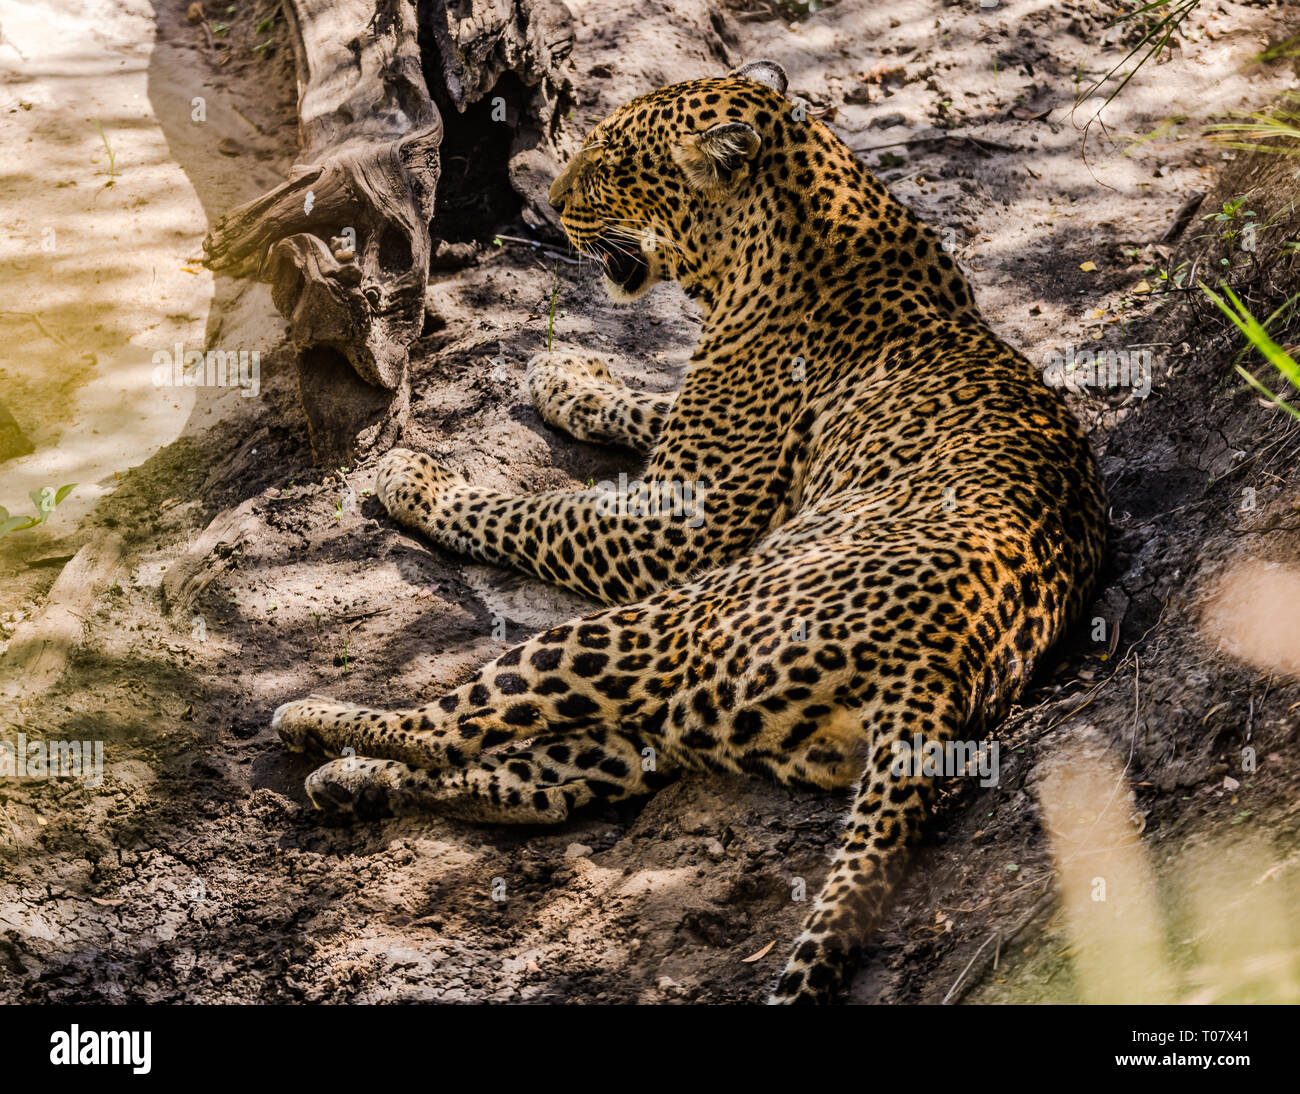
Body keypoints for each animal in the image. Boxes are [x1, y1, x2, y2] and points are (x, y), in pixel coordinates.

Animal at [271, 60, 1107, 1003]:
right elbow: (646, 402)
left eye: (608, 164)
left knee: (451, 728)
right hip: (677, 714)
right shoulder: (691, 452)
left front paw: (419, 478)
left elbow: (537, 511)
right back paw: (349, 781)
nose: (549, 201)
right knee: (535, 784)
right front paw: (568, 373)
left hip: (654, 627)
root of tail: (939, 669)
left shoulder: (683, 529)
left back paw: (314, 720)